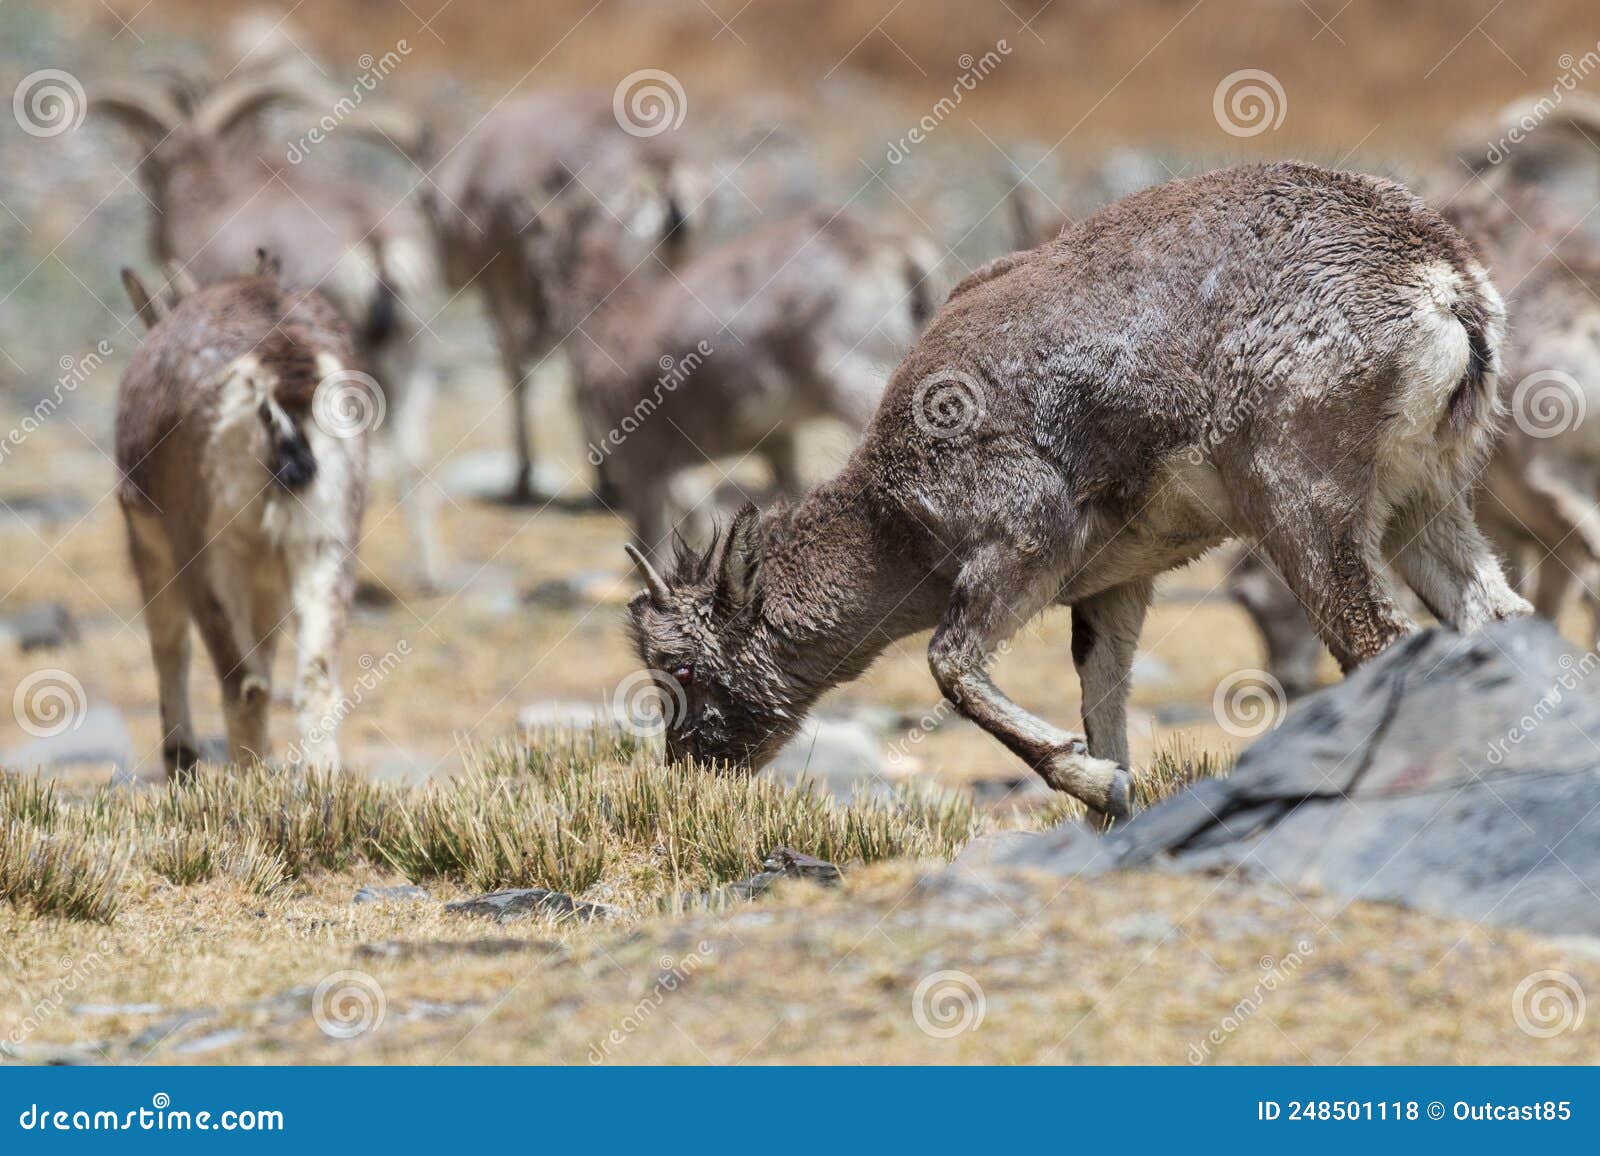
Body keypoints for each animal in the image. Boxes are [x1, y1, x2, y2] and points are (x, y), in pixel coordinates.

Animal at [116, 259, 367, 776]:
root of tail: (280, 369)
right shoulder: (269, 578)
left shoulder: (150, 544)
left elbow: (169, 644)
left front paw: (181, 763)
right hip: (328, 543)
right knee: (313, 679)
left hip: (209, 553)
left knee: (243, 685)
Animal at [623, 162, 1529, 825]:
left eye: (684, 667)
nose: (692, 766)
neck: (893, 514)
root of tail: (1443, 284)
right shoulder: (1114, 583)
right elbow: (1105, 700)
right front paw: (1112, 803)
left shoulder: (1022, 540)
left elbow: (950, 666)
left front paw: (1095, 784)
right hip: (1426, 500)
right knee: (1497, 619)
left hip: (1304, 502)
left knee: (1377, 642)